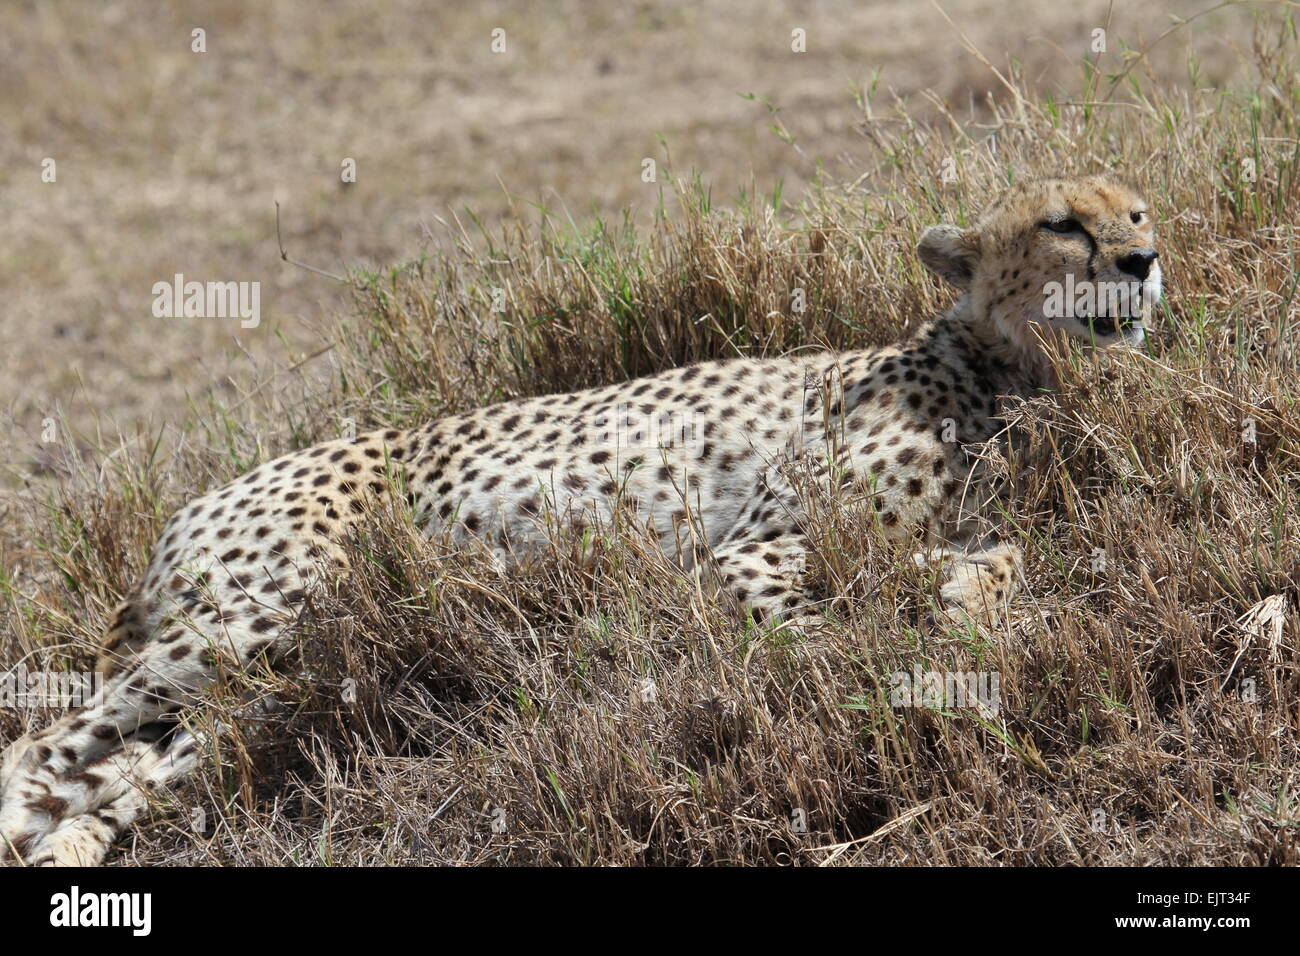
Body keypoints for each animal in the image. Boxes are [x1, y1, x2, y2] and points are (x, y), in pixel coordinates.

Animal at [0, 173, 1160, 865]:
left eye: (1138, 211)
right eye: (1062, 224)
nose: (1141, 262)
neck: (1003, 366)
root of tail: (192, 503)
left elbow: (996, 559)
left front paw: (970, 613)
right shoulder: (749, 553)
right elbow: (832, 638)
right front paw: (901, 677)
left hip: (263, 680)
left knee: (122, 770)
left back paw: (66, 844)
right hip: (264, 609)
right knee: (39, 741)